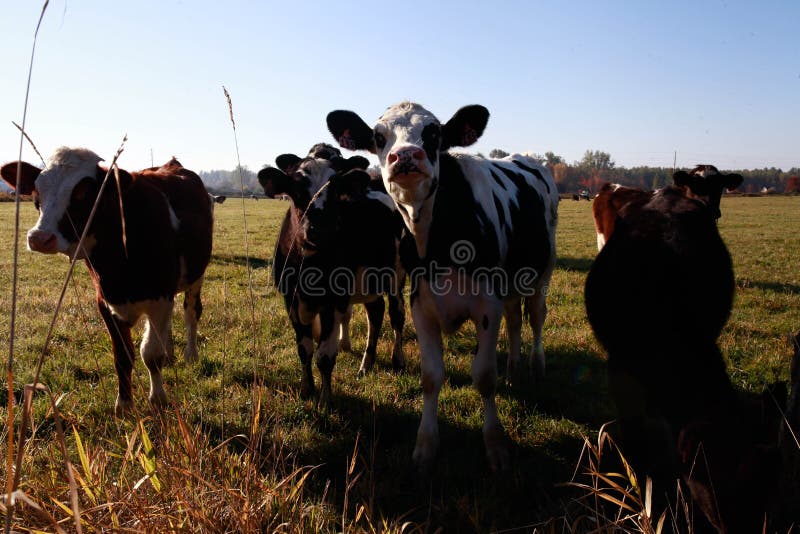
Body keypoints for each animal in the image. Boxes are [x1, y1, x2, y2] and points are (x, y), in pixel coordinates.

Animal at [0, 148, 213, 416]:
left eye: (83, 193)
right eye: (37, 192)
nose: (39, 237)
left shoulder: (160, 298)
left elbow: (150, 354)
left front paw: (158, 399)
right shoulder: (105, 303)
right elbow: (122, 356)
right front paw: (124, 405)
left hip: (197, 277)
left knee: (190, 313)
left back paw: (190, 354)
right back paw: (171, 353)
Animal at [257, 148, 406, 408]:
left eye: (337, 190)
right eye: (297, 189)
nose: (319, 228)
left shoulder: (334, 301)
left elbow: (325, 355)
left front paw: (325, 399)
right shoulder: (290, 300)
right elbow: (304, 349)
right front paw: (307, 389)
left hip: (397, 274)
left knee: (397, 314)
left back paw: (397, 360)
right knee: (376, 312)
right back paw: (366, 365)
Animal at [326, 102, 559, 472]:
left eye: (433, 132)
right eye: (378, 136)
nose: (406, 155)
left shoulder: (487, 305)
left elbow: (484, 376)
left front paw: (495, 447)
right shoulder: (421, 306)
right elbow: (431, 376)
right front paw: (425, 447)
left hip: (542, 273)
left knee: (536, 317)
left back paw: (536, 366)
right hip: (509, 284)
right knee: (515, 321)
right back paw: (513, 368)